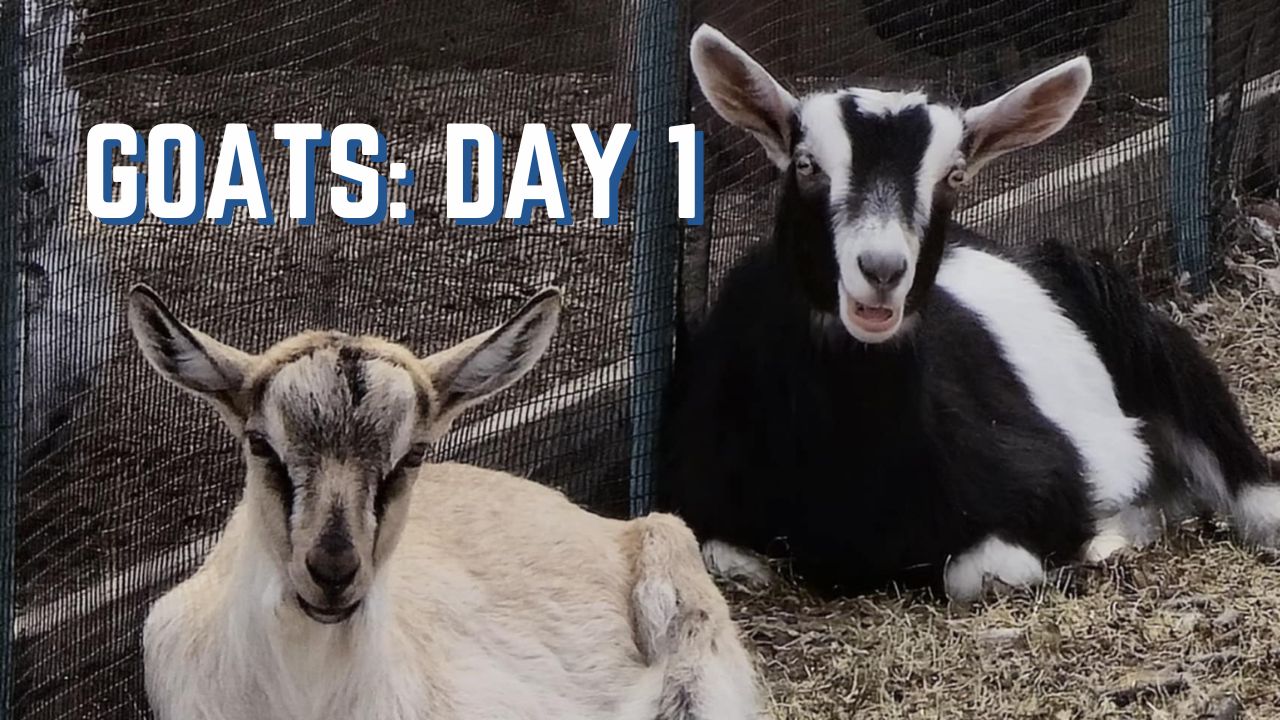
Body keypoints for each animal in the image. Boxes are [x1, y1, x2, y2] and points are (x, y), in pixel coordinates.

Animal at [657, 25, 1280, 603]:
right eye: (806, 164)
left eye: (954, 176)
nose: (882, 270)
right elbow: (718, 552)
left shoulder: (1046, 478)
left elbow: (988, 572)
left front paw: (1104, 534)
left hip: (1153, 347)